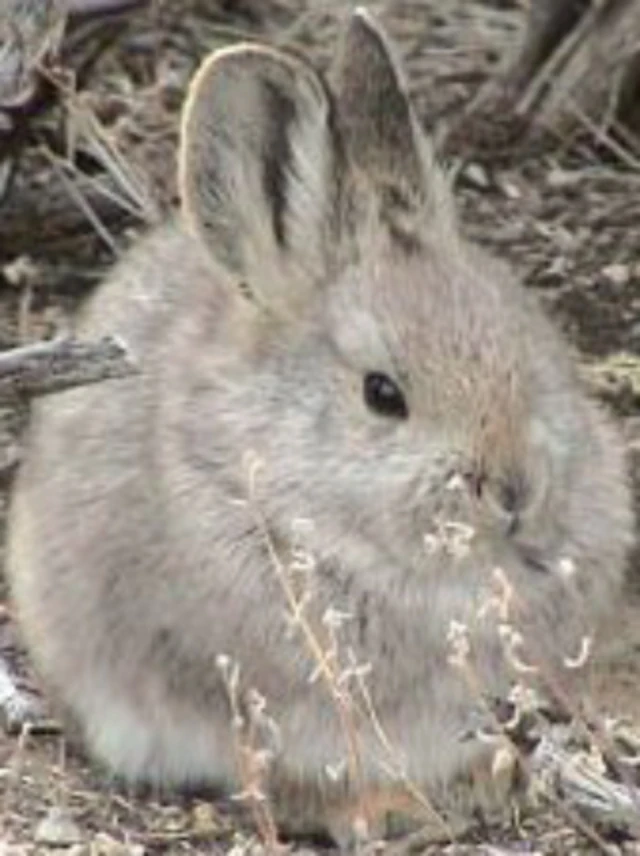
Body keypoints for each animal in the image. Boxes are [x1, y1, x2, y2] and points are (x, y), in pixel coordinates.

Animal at [6, 6, 634, 842]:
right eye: (382, 393)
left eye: (531, 345)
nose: (514, 492)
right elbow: (295, 782)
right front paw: (396, 809)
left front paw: (492, 777)